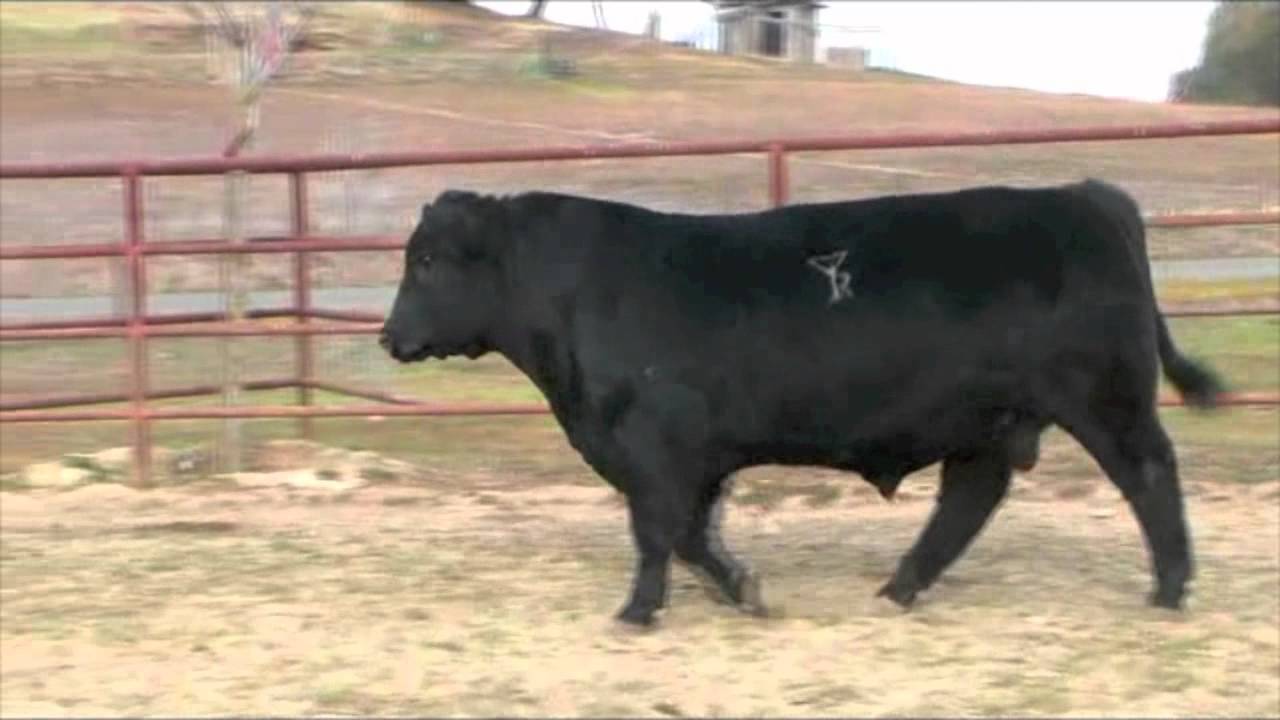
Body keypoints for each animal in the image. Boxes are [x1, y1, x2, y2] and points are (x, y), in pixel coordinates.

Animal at [379, 180, 1226, 628]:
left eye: (426, 263)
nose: (389, 335)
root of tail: (1087, 194)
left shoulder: (656, 446)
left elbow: (658, 532)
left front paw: (639, 611)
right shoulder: (692, 457)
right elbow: (691, 534)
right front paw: (741, 590)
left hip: (1105, 399)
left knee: (1151, 477)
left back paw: (1169, 588)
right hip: (988, 420)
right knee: (969, 500)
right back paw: (899, 587)